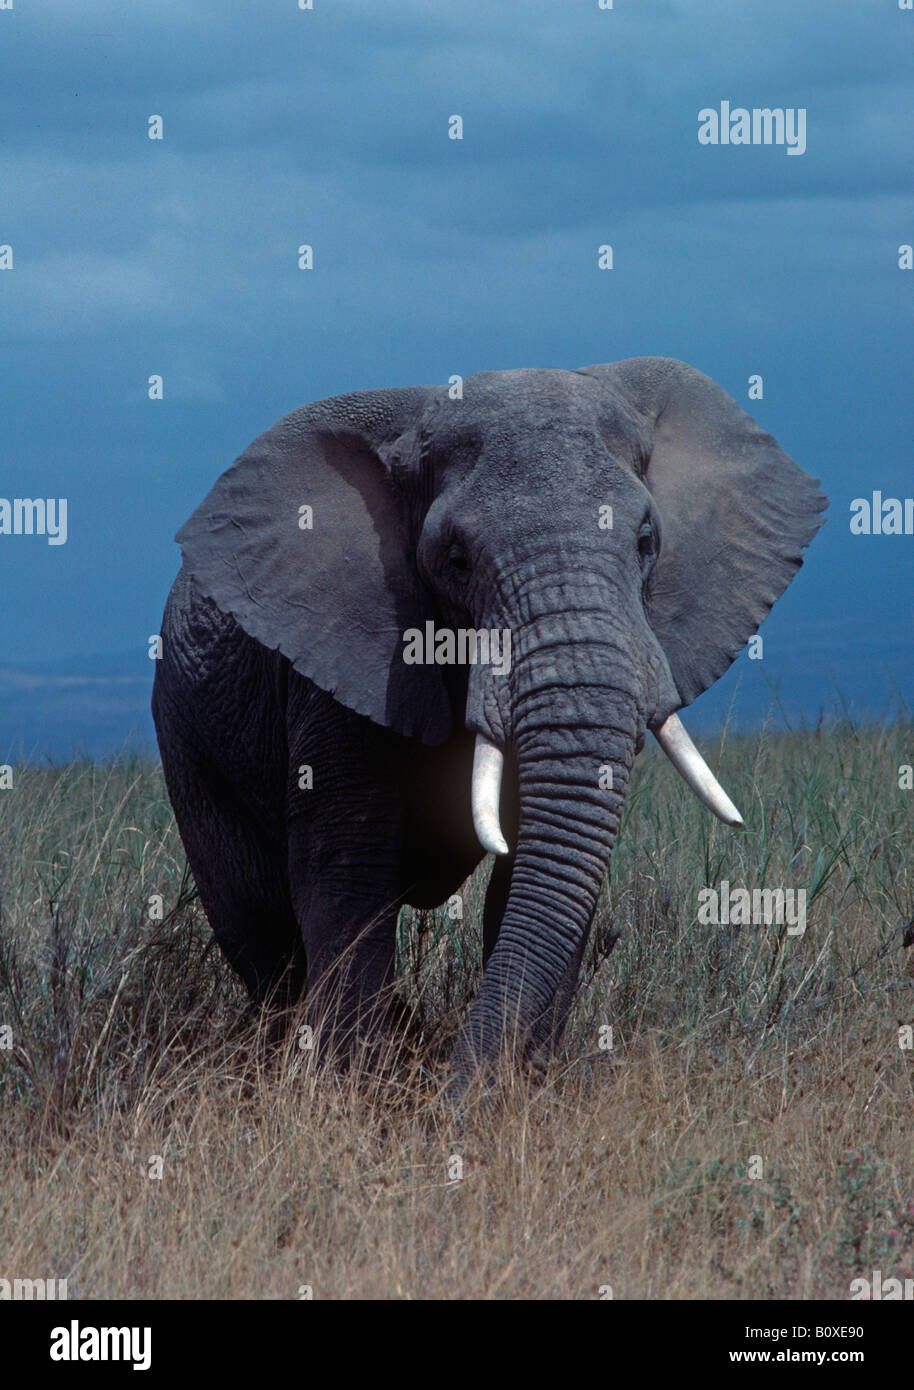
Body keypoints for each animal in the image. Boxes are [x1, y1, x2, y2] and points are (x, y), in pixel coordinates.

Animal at [151, 357, 826, 1093]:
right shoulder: (338, 660)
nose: (450, 1097)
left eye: (647, 541)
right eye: (456, 558)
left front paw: (523, 1085)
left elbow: (531, 870)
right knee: (260, 927)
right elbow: (347, 874)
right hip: (185, 736)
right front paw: (351, 1090)